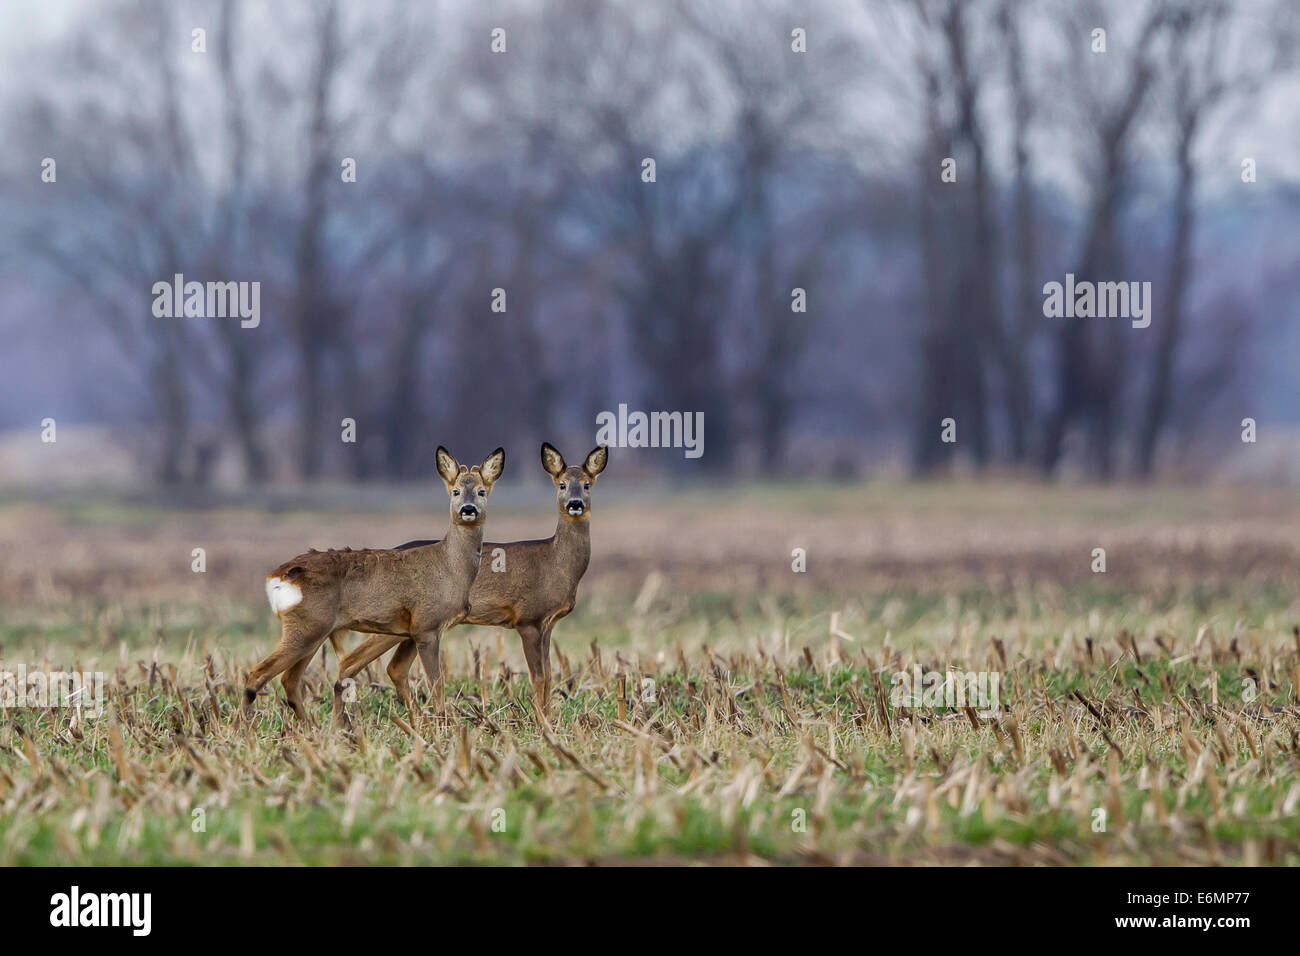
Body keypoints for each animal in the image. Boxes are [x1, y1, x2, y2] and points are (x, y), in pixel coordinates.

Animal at [243, 446, 505, 724]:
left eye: (481, 491)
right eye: (455, 490)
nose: (468, 509)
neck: (449, 568)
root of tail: (276, 577)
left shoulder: (413, 629)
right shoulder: (427, 625)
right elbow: (437, 685)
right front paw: (441, 725)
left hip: (313, 631)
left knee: (289, 680)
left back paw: (316, 728)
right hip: (306, 627)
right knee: (257, 675)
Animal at [334, 442, 608, 722]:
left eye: (587, 484)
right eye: (562, 484)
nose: (575, 504)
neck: (555, 564)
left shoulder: (547, 623)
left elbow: (550, 676)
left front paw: (549, 720)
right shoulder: (528, 618)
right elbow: (539, 677)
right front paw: (543, 723)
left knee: (388, 667)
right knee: (353, 661)